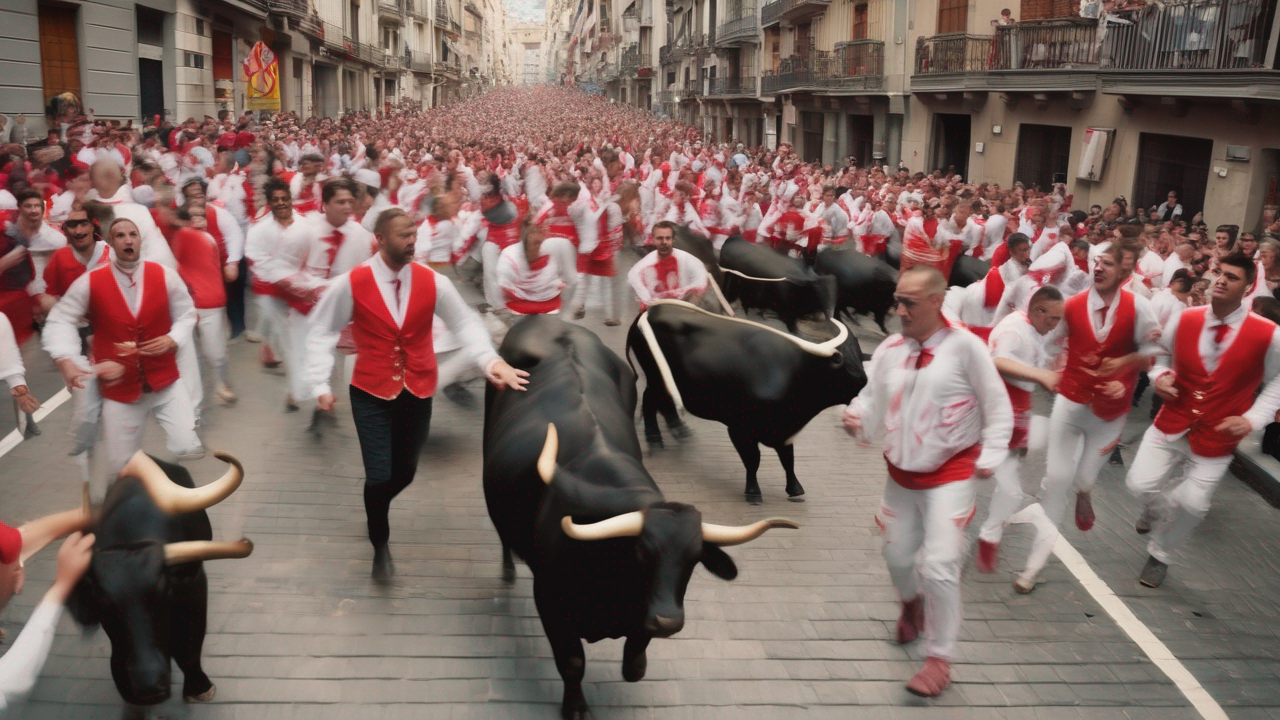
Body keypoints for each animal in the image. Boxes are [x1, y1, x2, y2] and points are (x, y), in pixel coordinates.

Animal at [68, 450, 253, 702]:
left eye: (164, 592)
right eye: (101, 600)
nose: (147, 686)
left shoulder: (195, 587)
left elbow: (189, 646)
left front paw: (200, 687)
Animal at [481, 315, 793, 717]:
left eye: (695, 559)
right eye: (641, 553)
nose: (669, 621)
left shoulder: (645, 612)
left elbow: (636, 659)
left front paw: (636, 662)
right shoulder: (549, 602)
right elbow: (572, 662)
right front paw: (576, 706)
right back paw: (508, 568)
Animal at [624, 299, 865, 502]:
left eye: (860, 358)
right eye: (850, 368)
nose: (865, 382)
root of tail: (648, 310)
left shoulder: (782, 428)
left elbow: (788, 459)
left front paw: (795, 489)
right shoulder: (740, 428)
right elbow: (753, 460)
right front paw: (753, 492)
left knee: (659, 401)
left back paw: (677, 431)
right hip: (655, 374)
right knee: (652, 400)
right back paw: (656, 438)